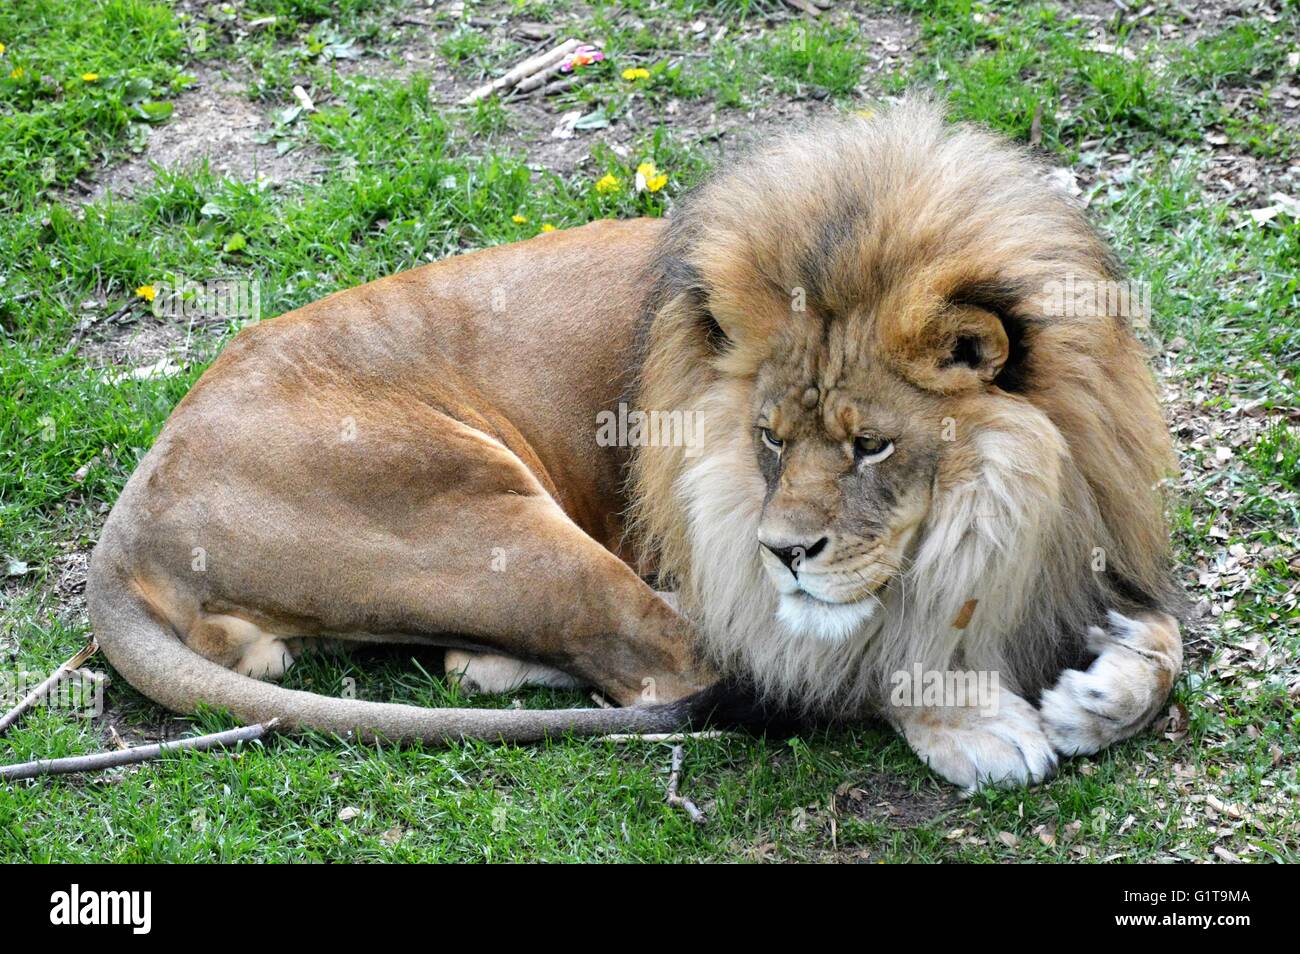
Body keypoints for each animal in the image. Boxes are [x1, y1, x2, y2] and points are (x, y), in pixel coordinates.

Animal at [88, 96, 1182, 789]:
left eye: (871, 447)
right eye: (767, 438)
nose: (783, 552)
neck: (997, 511)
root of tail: (125, 530)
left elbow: (1163, 645)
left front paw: (1101, 694)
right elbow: (836, 654)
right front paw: (983, 726)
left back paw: (492, 665)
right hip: (480, 509)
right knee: (684, 668)